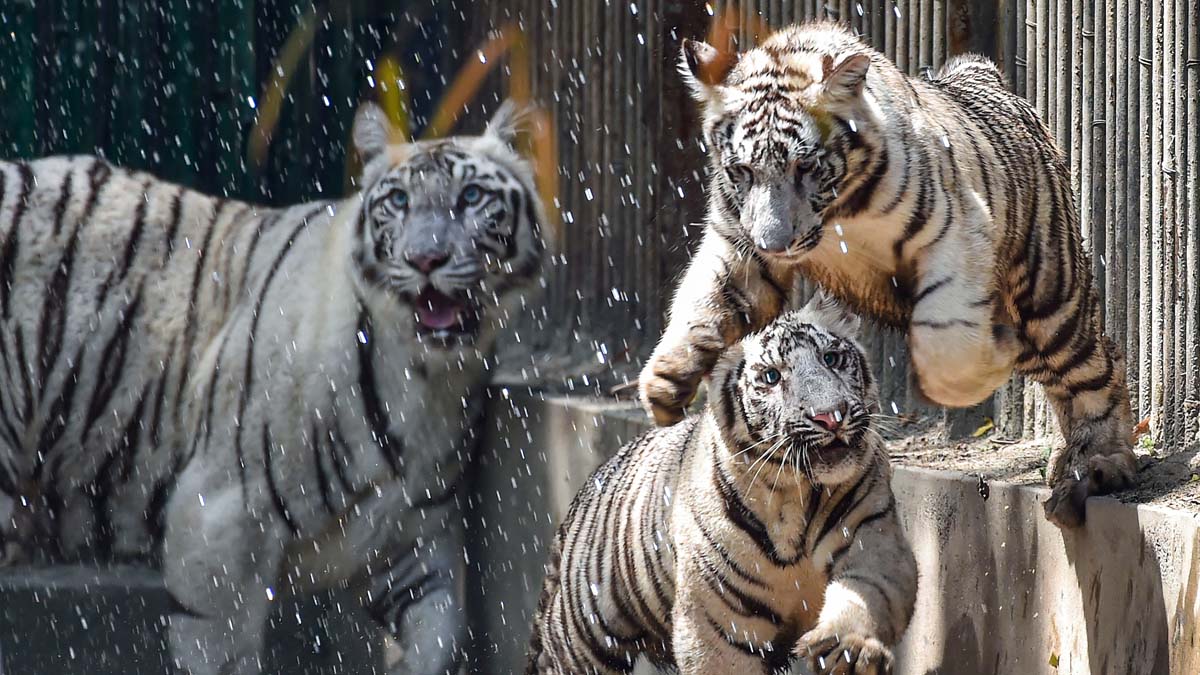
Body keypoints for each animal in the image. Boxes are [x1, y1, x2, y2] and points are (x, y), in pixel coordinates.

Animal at [0, 101, 546, 675]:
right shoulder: (219, 521)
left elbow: (442, 635)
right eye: (399, 201)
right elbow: (222, 652)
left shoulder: (411, 543)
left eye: (472, 197)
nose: (425, 259)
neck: (430, 380)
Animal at [529, 292, 917, 675]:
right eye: (772, 377)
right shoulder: (717, 623)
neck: (795, 496)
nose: (831, 418)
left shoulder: (872, 538)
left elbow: (864, 595)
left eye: (831, 358)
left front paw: (849, 649)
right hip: (583, 642)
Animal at [638, 20, 1136, 529]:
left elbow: (947, 340)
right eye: (741, 170)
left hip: (1047, 295)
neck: (835, 215)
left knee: (1096, 365)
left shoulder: (953, 227)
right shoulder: (738, 245)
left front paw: (970, 378)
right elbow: (703, 300)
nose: (774, 244)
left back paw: (1097, 464)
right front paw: (665, 382)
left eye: (804, 166)